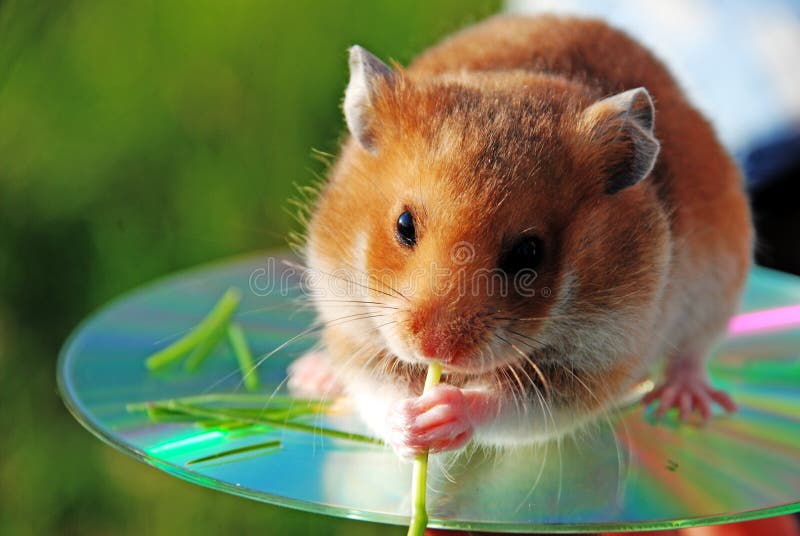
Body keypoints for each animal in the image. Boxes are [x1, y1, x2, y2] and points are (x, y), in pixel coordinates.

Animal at [288, 15, 752, 459]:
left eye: (529, 252)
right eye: (404, 225)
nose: (435, 350)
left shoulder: (591, 365)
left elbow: (509, 405)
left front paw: (441, 412)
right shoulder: (353, 331)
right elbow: (378, 390)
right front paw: (412, 423)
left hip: (720, 286)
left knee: (692, 354)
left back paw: (686, 403)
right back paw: (310, 374)